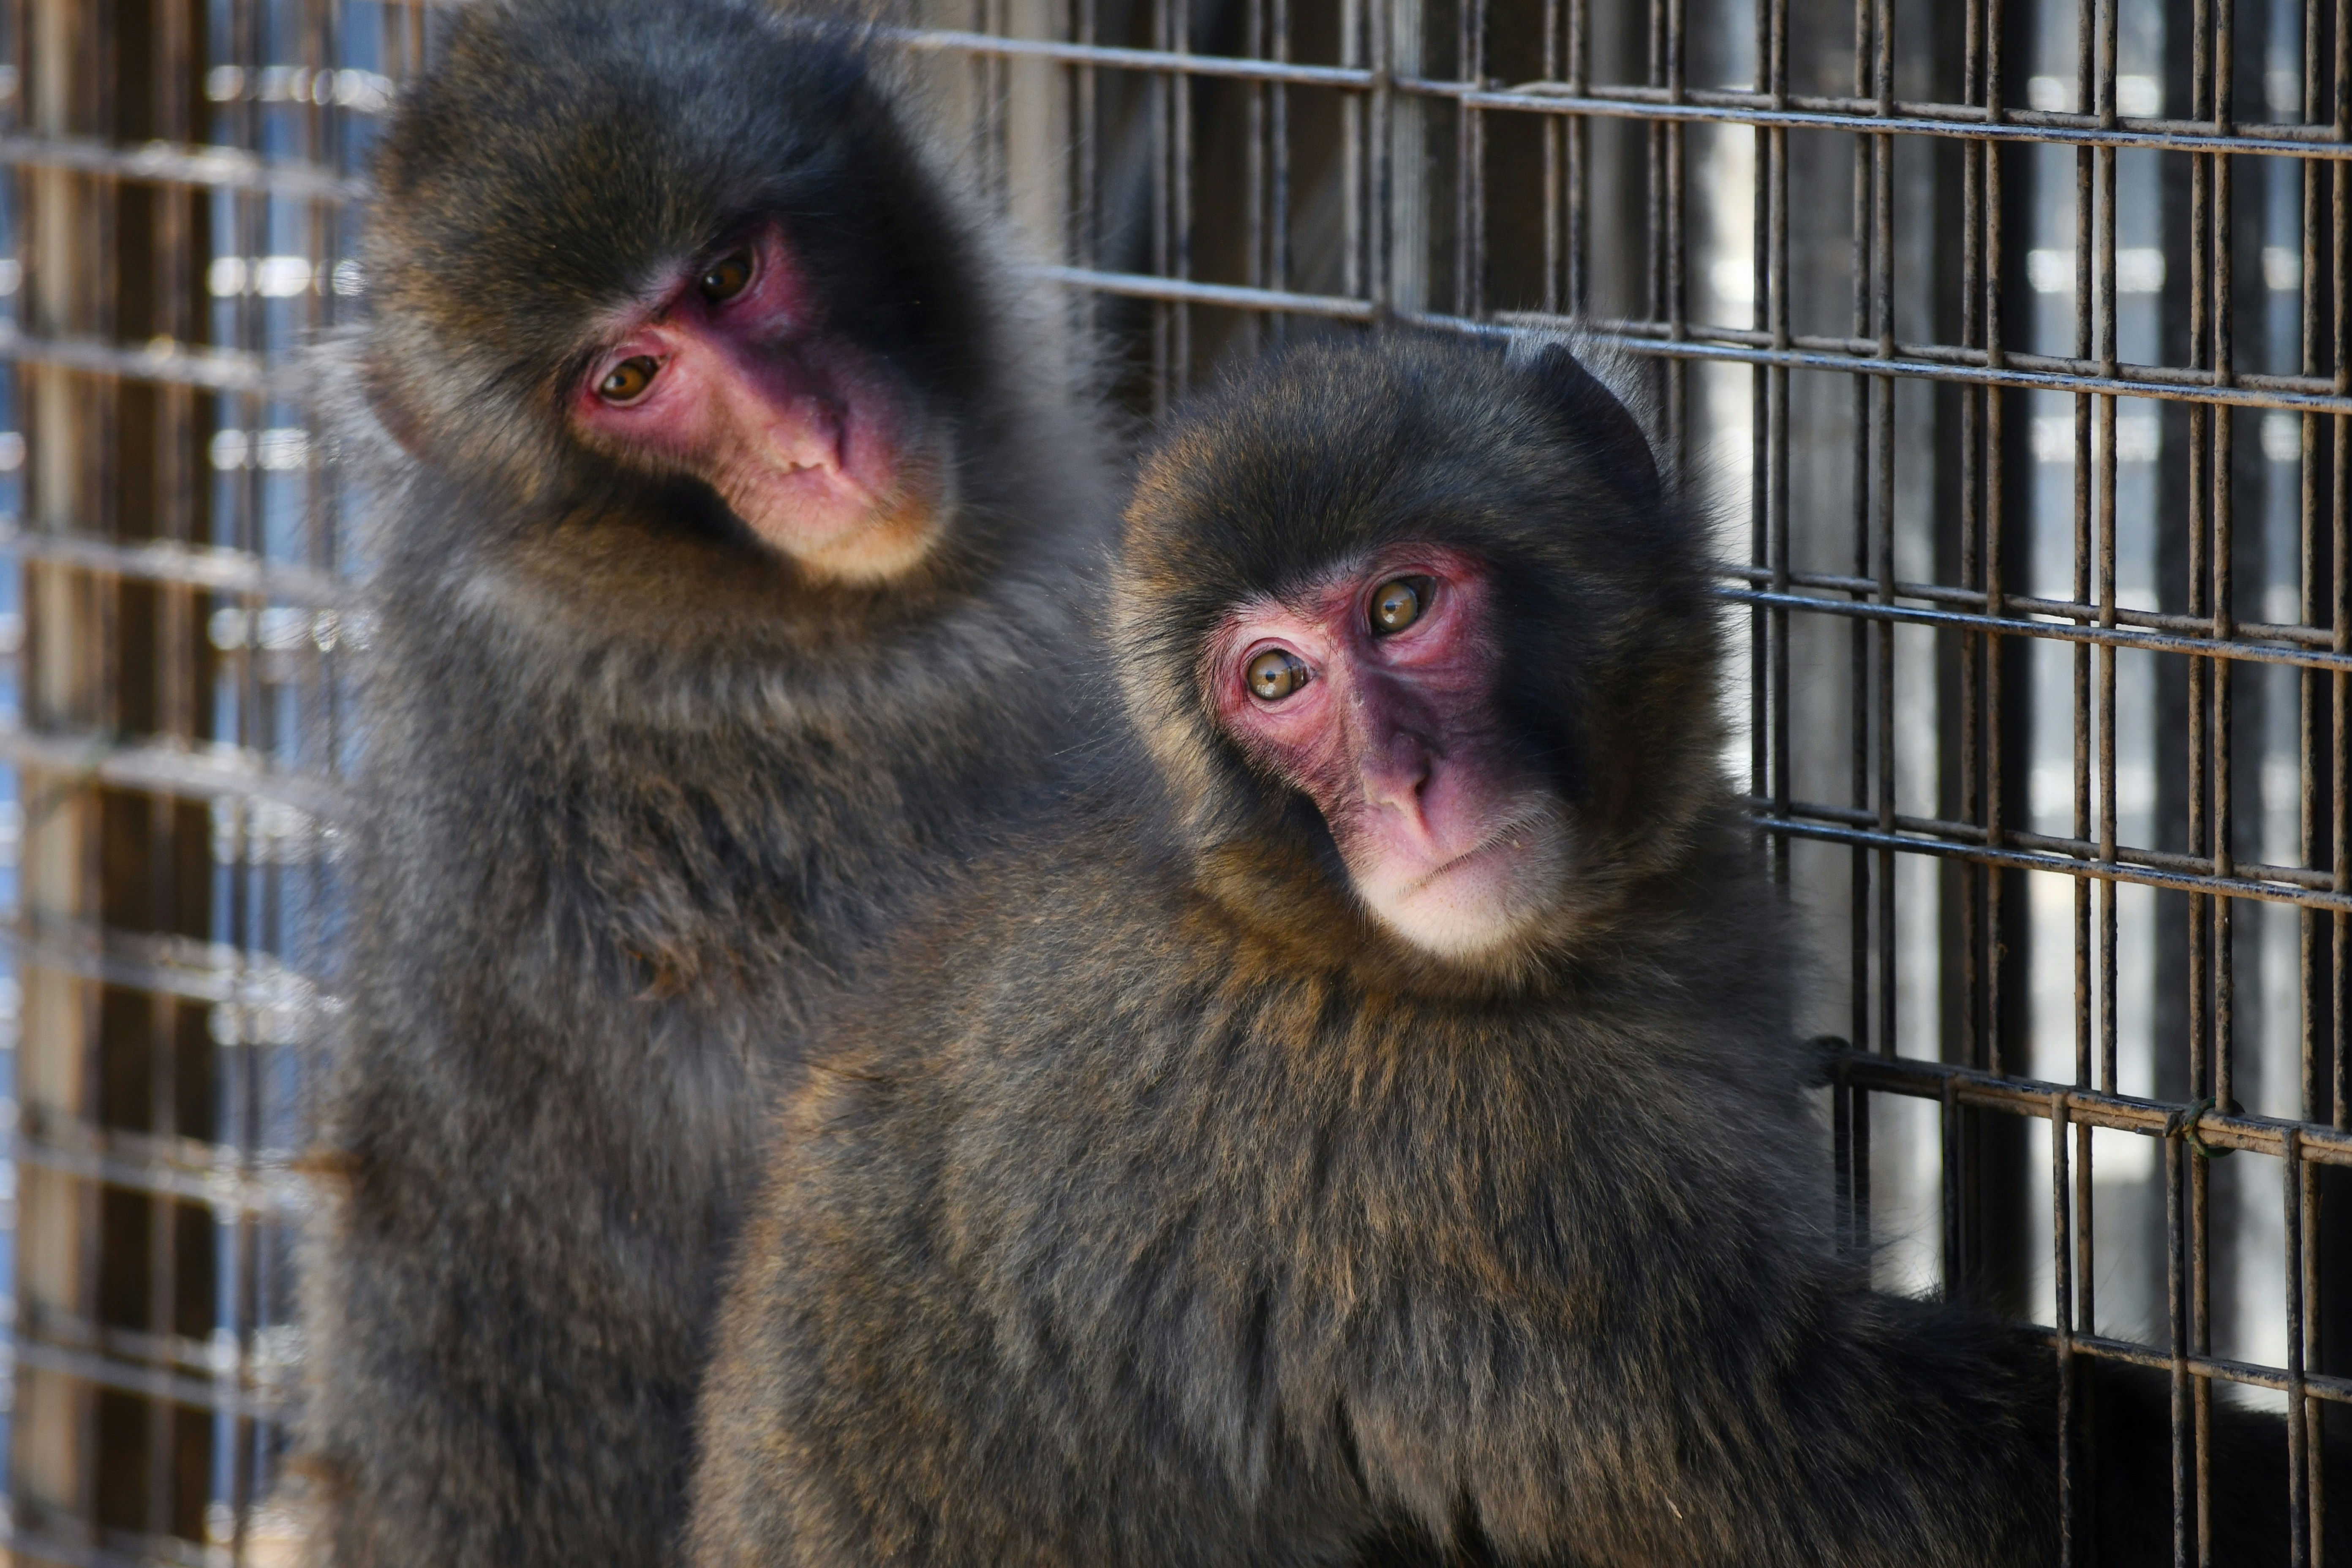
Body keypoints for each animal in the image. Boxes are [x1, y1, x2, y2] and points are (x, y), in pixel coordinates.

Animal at [683, 329, 2327, 1568]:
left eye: (1400, 605)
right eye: (1271, 682)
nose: (1407, 784)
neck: (1356, 958)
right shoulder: (1446, 1176)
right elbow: (1834, 1479)